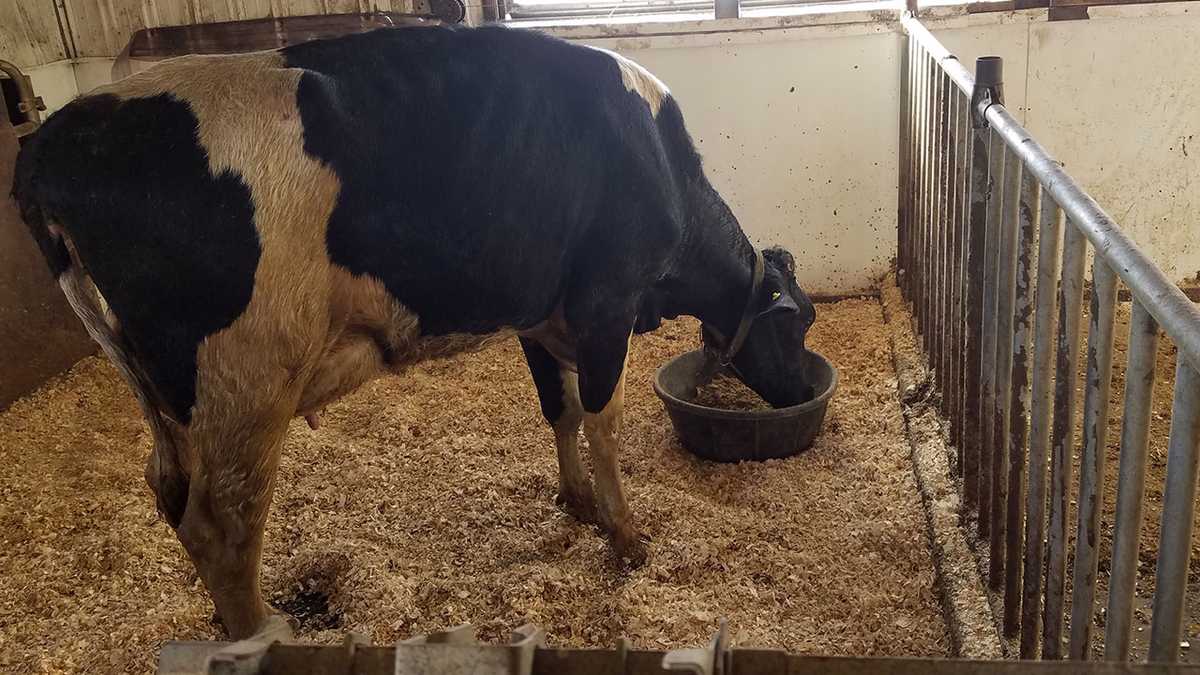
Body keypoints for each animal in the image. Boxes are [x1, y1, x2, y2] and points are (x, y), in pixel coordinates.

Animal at [13, 24, 818, 640]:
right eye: (799, 325)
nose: (800, 393)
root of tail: (50, 143)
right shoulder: (605, 305)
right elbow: (603, 422)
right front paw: (625, 537)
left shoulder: (540, 314)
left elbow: (557, 410)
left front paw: (578, 502)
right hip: (243, 377)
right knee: (222, 517)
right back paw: (264, 631)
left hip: (171, 395)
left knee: (169, 490)